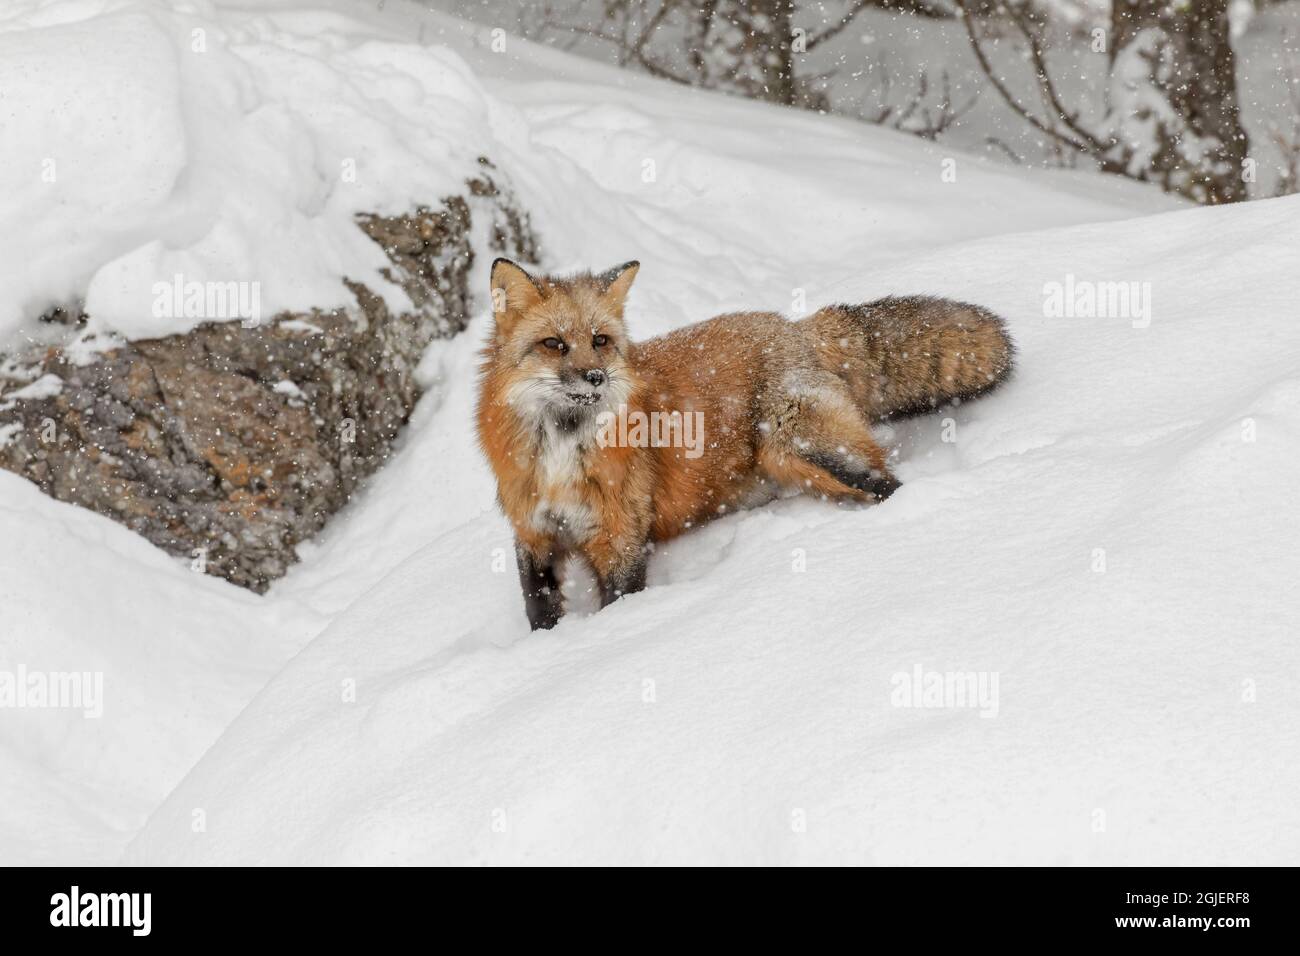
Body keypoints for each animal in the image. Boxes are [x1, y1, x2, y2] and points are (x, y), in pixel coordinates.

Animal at [477, 258, 1014, 630]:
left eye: (600, 341)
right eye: (554, 344)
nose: (596, 377)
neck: (562, 452)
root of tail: (795, 325)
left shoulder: (621, 539)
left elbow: (618, 604)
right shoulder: (533, 534)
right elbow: (539, 611)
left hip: (802, 447)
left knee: (891, 484)